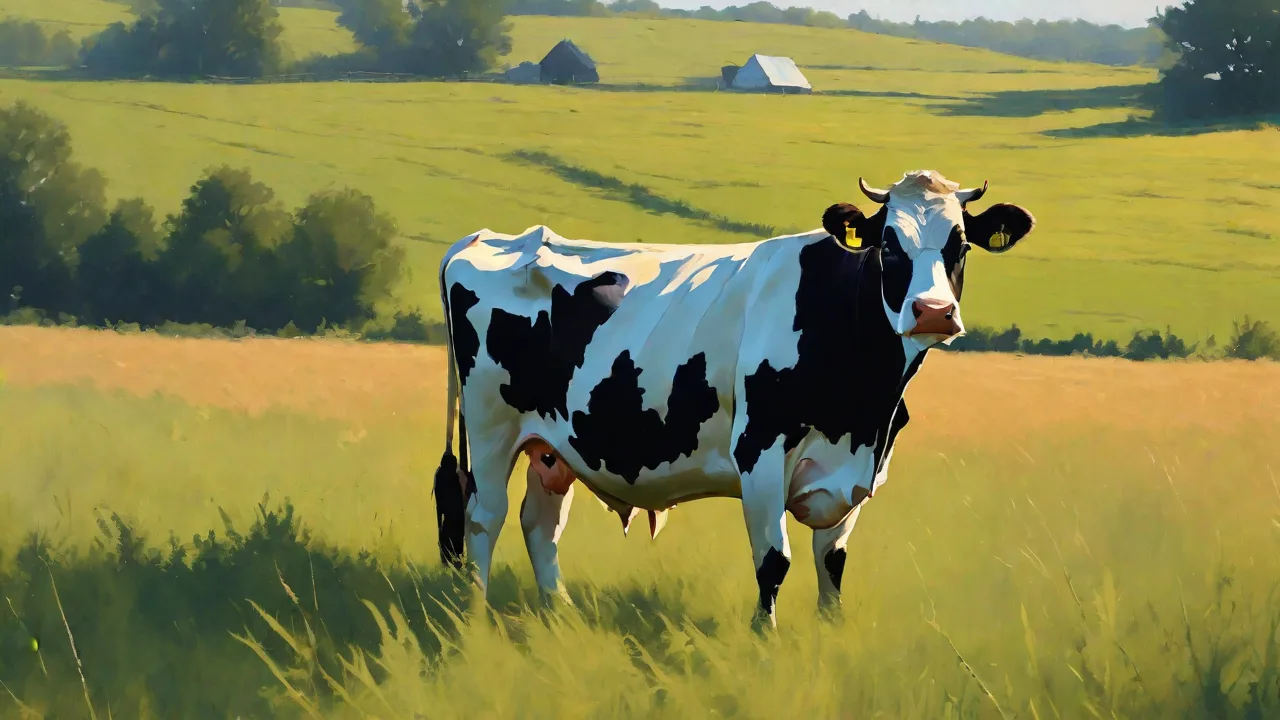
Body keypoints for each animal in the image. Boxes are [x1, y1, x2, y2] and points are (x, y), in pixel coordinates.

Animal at [432, 169, 1036, 629]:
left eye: (961, 245)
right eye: (889, 244)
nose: (933, 311)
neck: (866, 407)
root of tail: (485, 239)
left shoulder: (853, 471)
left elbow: (832, 563)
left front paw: (831, 632)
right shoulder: (760, 453)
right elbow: (774, 561)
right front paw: (763, 637)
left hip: (552, 443)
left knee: (540, 522)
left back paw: (559, 614)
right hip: (491, 427)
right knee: (483, 518)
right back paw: (474, 619)